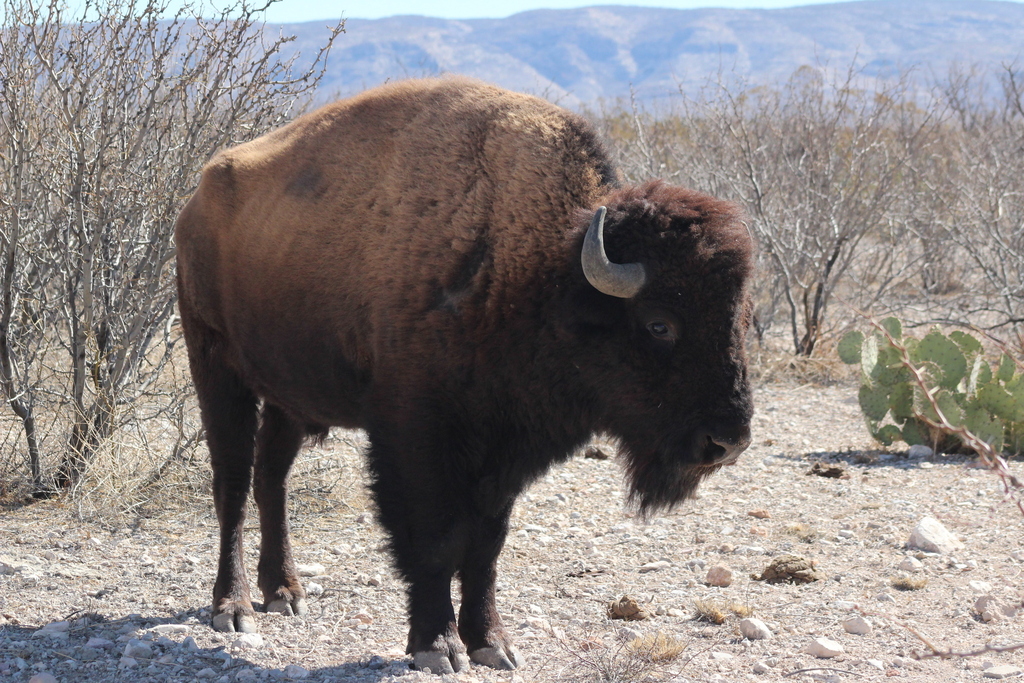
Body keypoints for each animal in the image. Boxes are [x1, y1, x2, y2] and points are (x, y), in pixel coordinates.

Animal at [175, 76, 753, 673]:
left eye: (742, 316)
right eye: (660, 324)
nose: (727, 441)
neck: (532, 267)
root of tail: (195, 203)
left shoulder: (503, 453)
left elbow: (485, 545)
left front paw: (492, 644)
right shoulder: (417, 439)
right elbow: (435, 540)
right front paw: (438, 646)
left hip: (289, 396)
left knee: (272, 478)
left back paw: (285, 593)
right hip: (216, 368)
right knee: (233, 482)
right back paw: (233, 607)